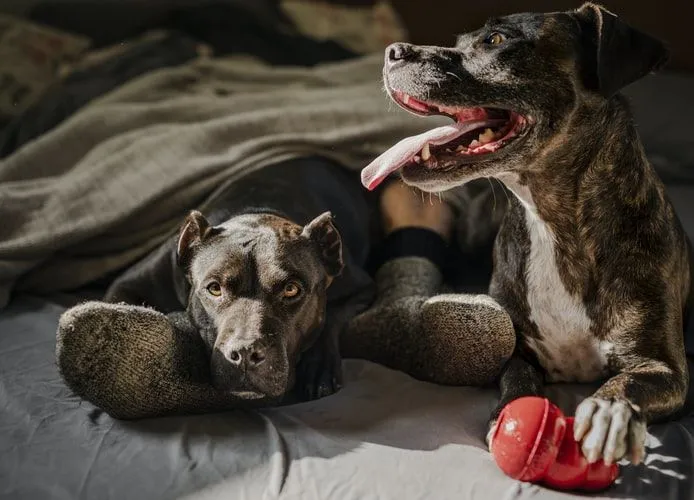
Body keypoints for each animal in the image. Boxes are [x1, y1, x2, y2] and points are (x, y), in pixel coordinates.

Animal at [364, 1, 694, 466]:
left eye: (496, 41)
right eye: (463, 41)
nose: (393, 51)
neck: (553, 225)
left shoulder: (666, 370)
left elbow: (629, 382)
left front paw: (608, 411)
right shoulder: (516, 349)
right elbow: (517, 377)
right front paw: (509, 413)